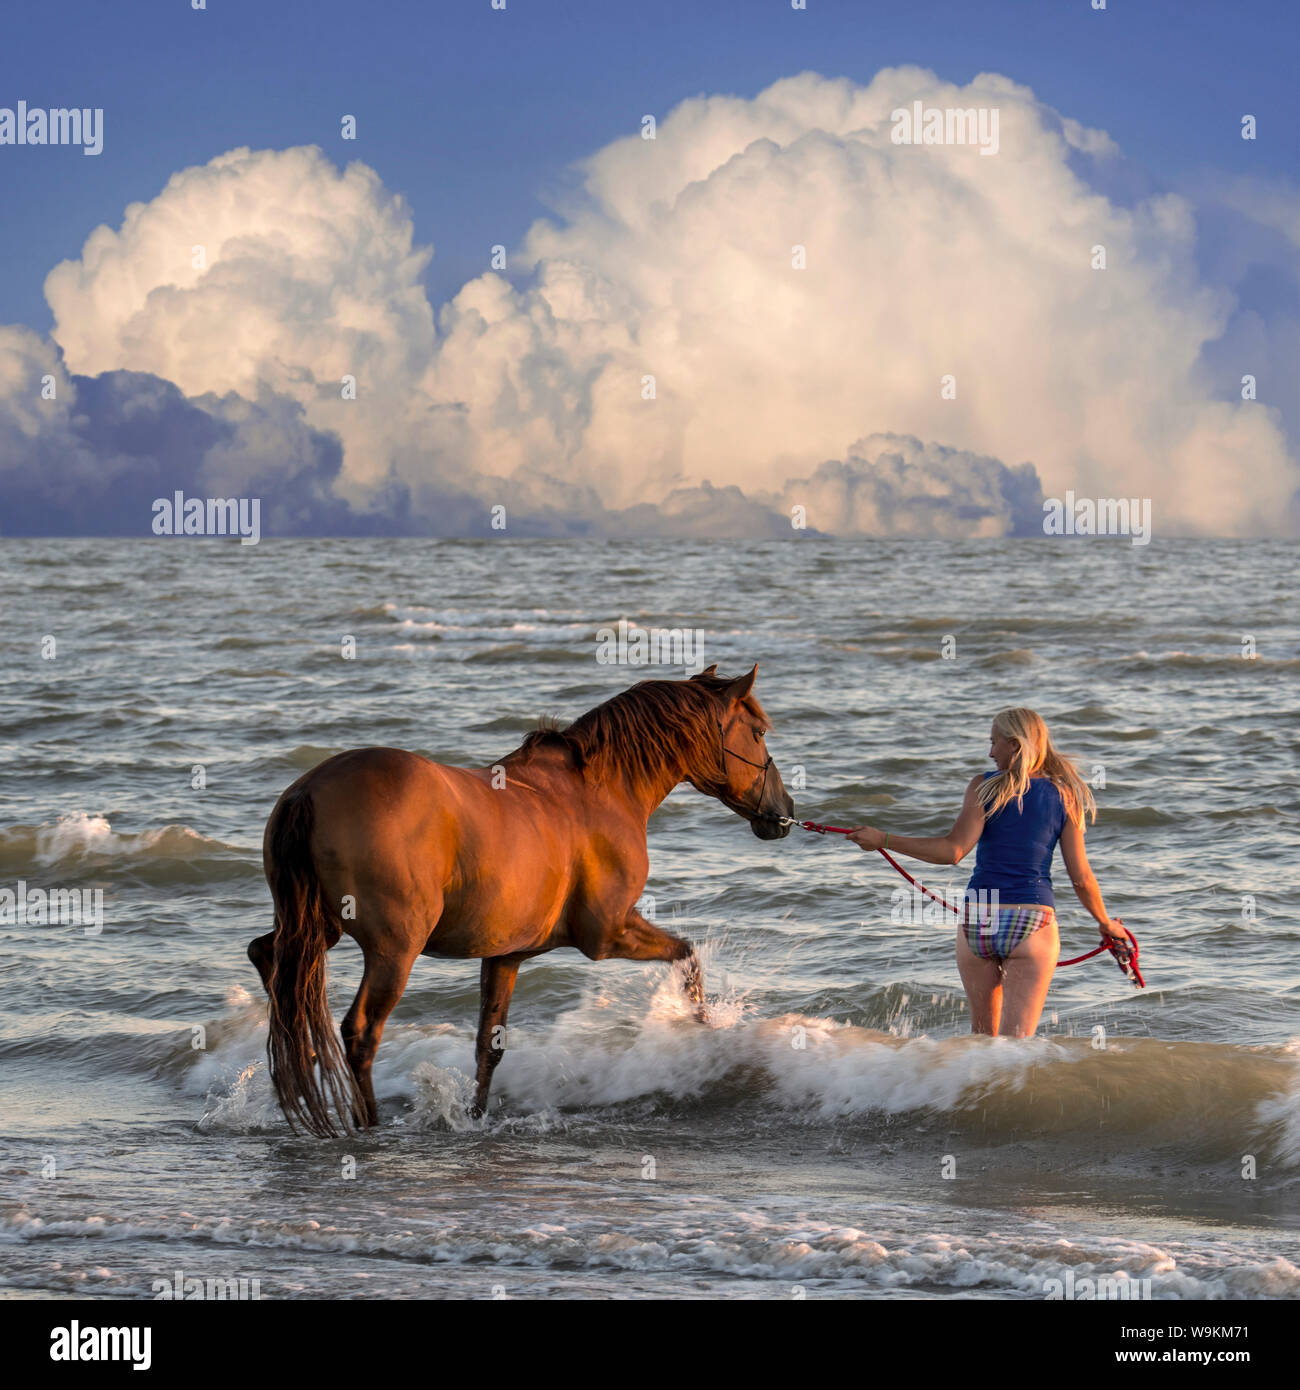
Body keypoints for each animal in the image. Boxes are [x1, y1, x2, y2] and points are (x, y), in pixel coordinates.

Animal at [247, 663, 794, 1137]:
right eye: (758, 733)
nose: (784, 811)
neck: (600, 792)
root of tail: (307, 792)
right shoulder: (608, 933)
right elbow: (688, 957)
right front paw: (704, 1033)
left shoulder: (505, 955)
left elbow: (489, 1047)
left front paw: (475, 1118)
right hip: (392, 950)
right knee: (360, 1032)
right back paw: (367, 1123)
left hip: (316, 928)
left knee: (271, 963)